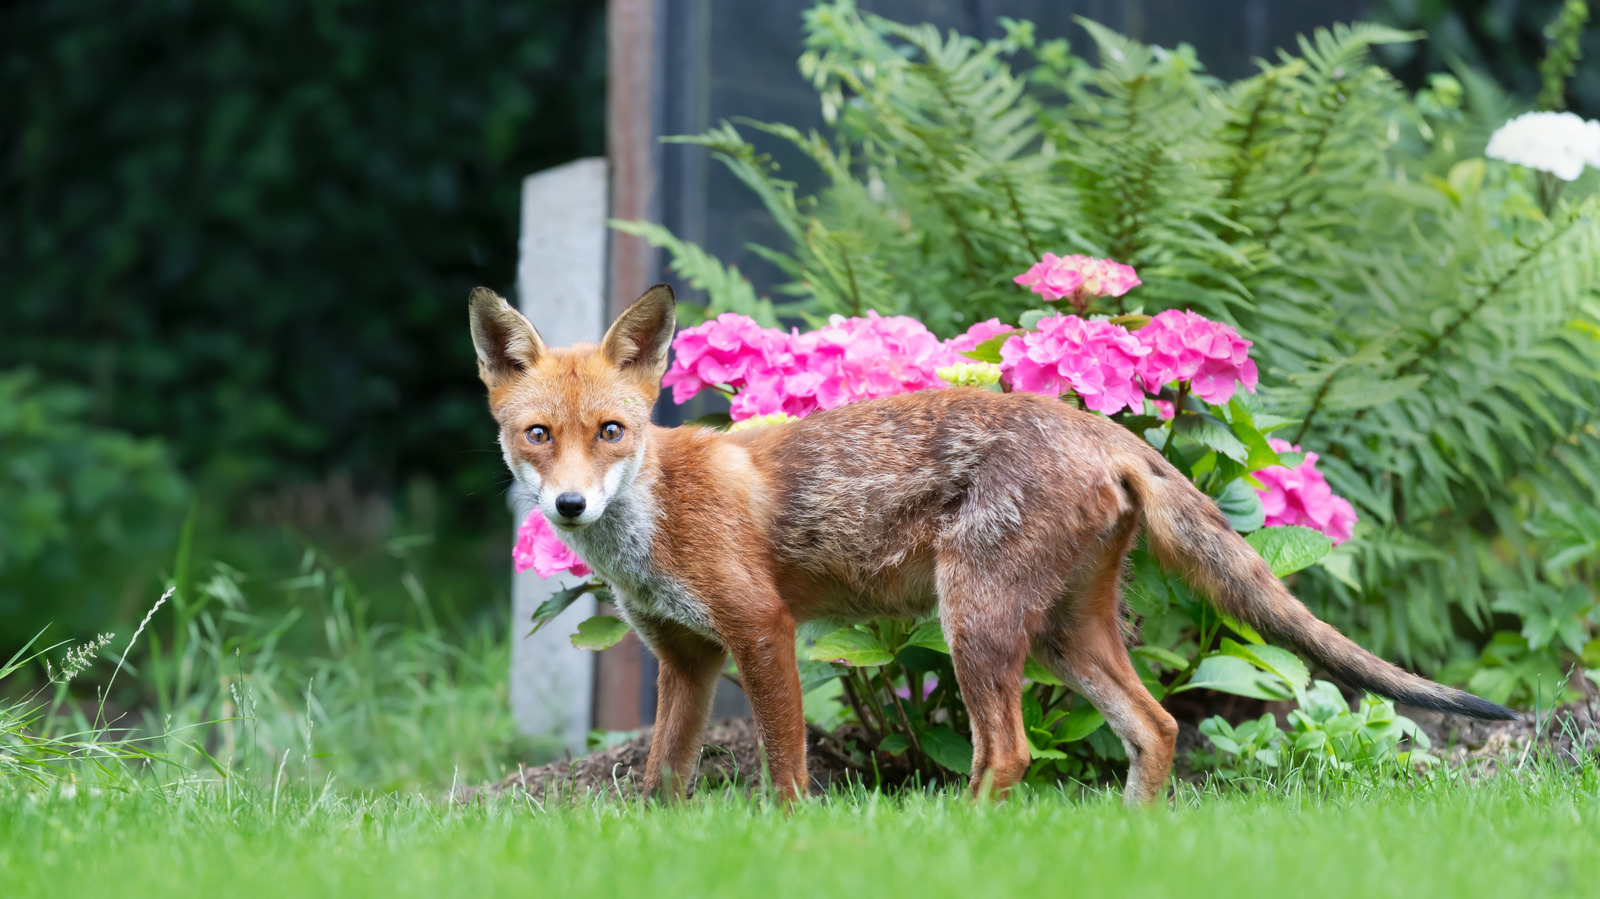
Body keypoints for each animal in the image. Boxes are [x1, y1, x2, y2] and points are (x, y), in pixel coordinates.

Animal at [469, 282, 1516, 806]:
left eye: (611, 430)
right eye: (538, 435)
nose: (569, 506)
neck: (652, 522)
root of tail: (1102, 427)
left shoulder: (761, 630)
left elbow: (787, 777)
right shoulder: (685, 659)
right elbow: (661, 783)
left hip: (972, 620)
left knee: (1008, 754)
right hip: (1059, 633)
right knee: (1155, 725)